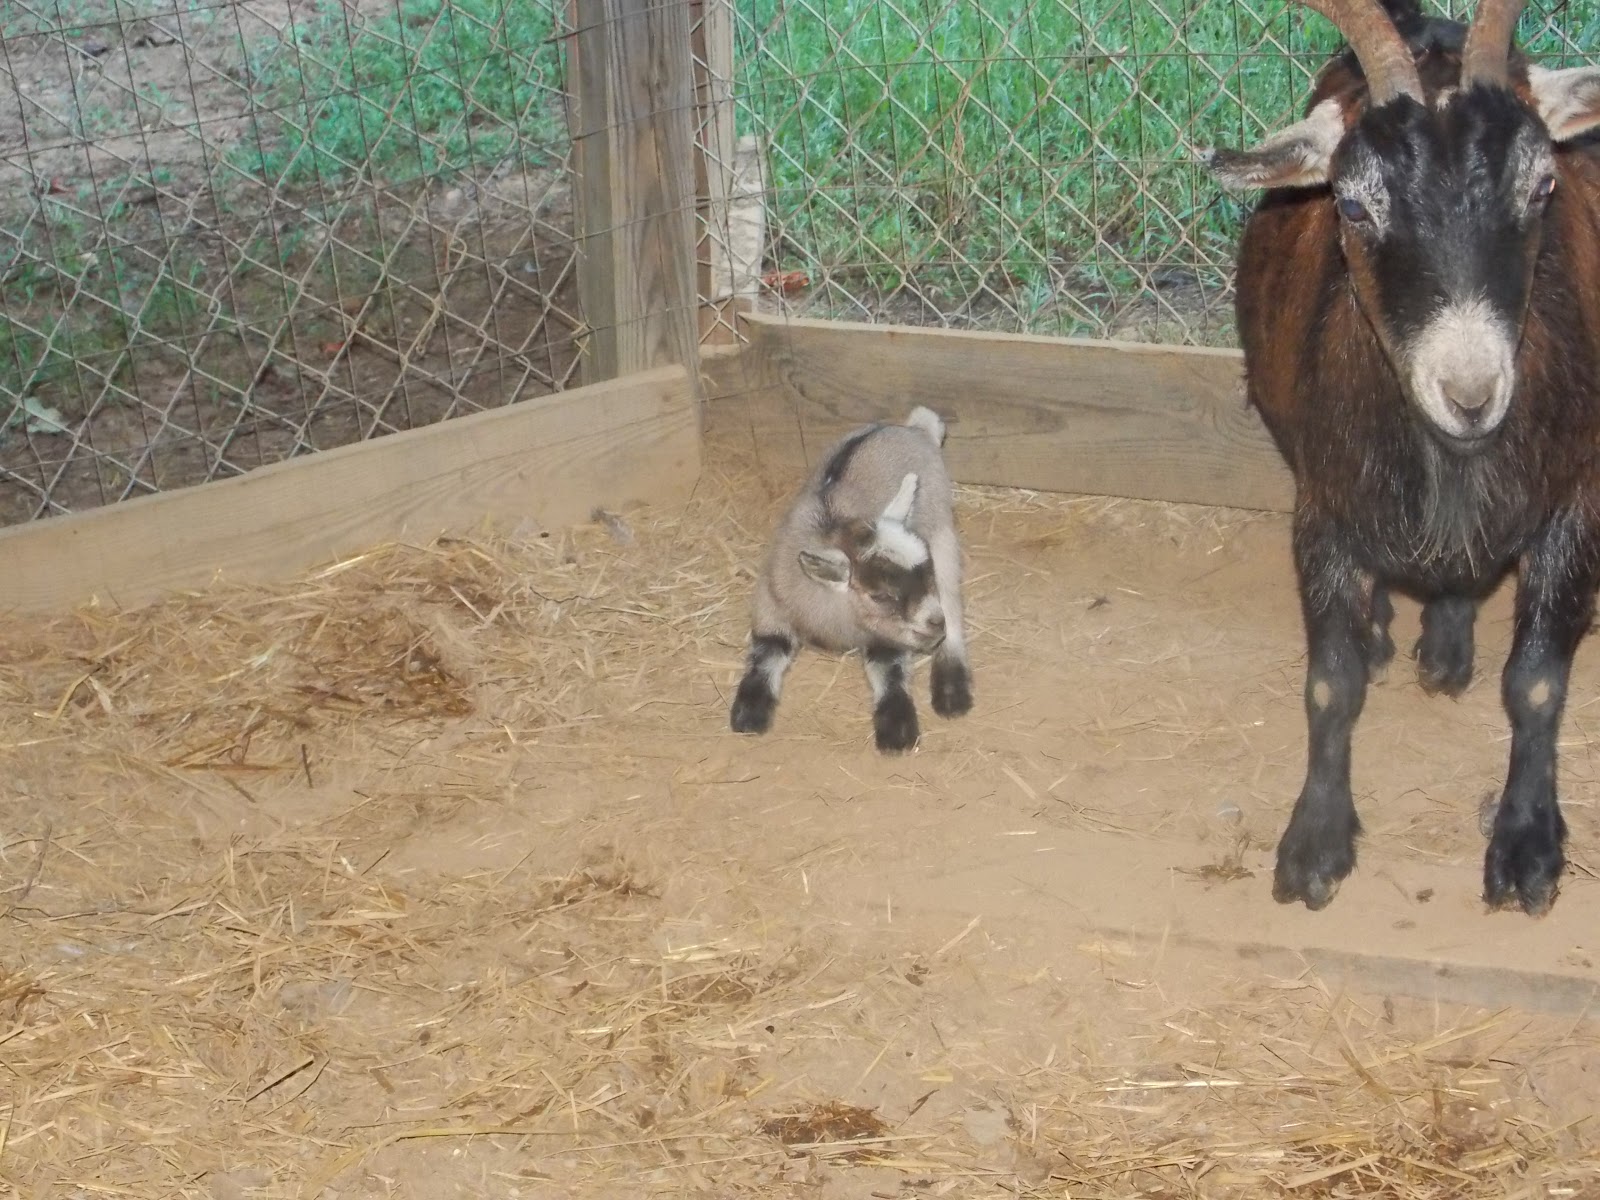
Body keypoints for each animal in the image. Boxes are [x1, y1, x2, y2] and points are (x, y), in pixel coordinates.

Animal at [729, 406, 973, 753]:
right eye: (880, 595)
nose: (933, 624)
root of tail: (914, 429)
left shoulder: (887, 633)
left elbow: (889, 670)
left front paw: (897, 730)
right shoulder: (770, 601)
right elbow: (767, 651)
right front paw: (749, 713)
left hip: (941, 530)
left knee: (951, 600)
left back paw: (951, 691)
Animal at [1203, 0, 1600, 915]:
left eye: (1543, 186)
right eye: (1352, 206)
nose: (1471, 392)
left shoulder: (1577, 498)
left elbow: (1537, 681)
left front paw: (1526, 847)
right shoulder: (1323, 507)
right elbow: (1330, 682)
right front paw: (1314, 844)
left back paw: (1446, 645)